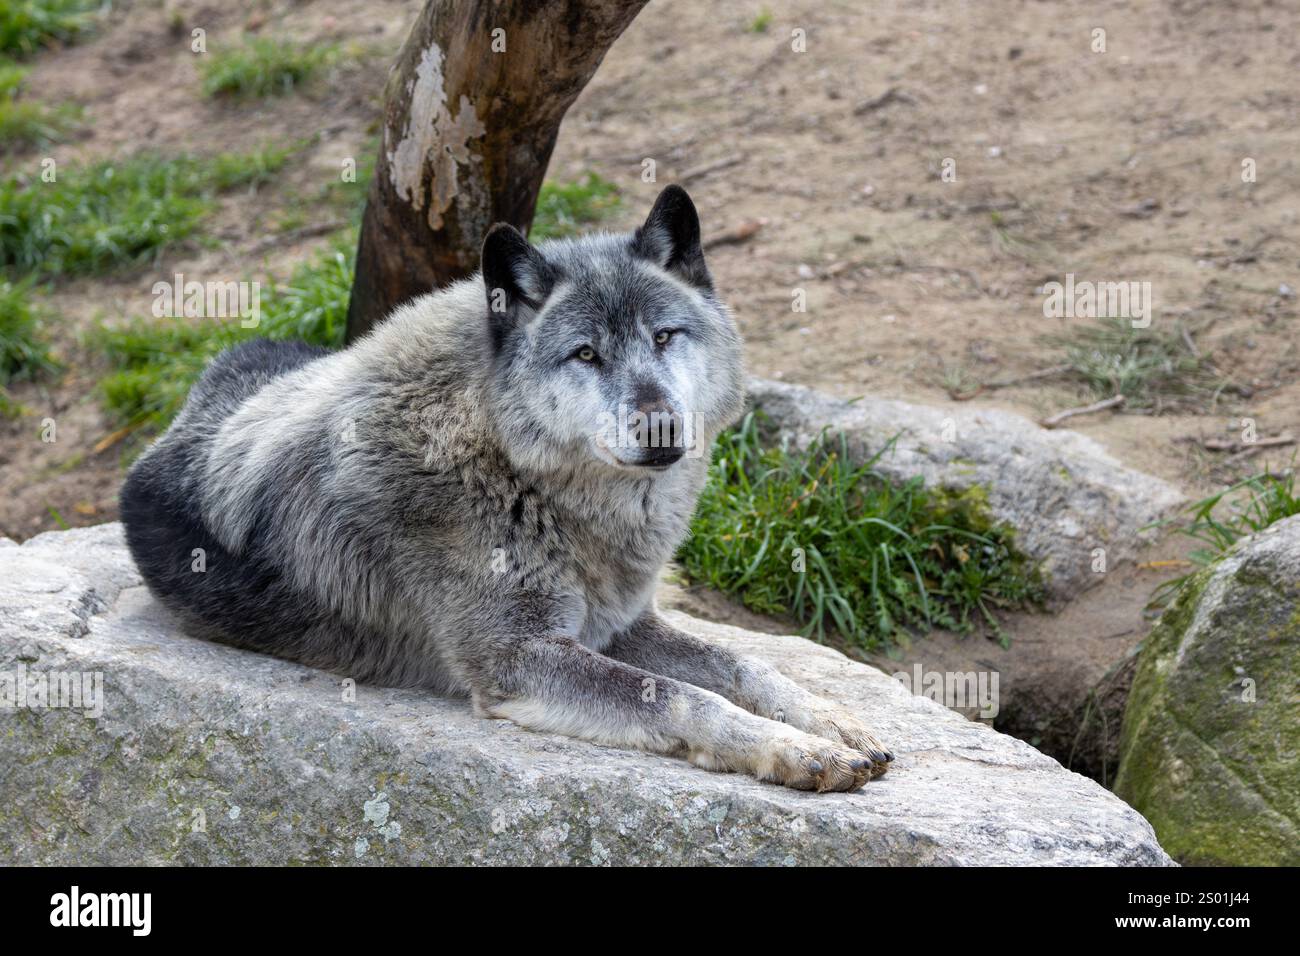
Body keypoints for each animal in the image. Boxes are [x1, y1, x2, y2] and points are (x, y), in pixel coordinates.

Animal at [121, 185, 892, 792]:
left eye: (665, 336)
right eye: (586, 354)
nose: (662, 427)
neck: (519, 475)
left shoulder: (621, 625)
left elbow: (743, 667)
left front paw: (834, 722)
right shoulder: (517, 659)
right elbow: (684, 699)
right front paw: (797, 751)